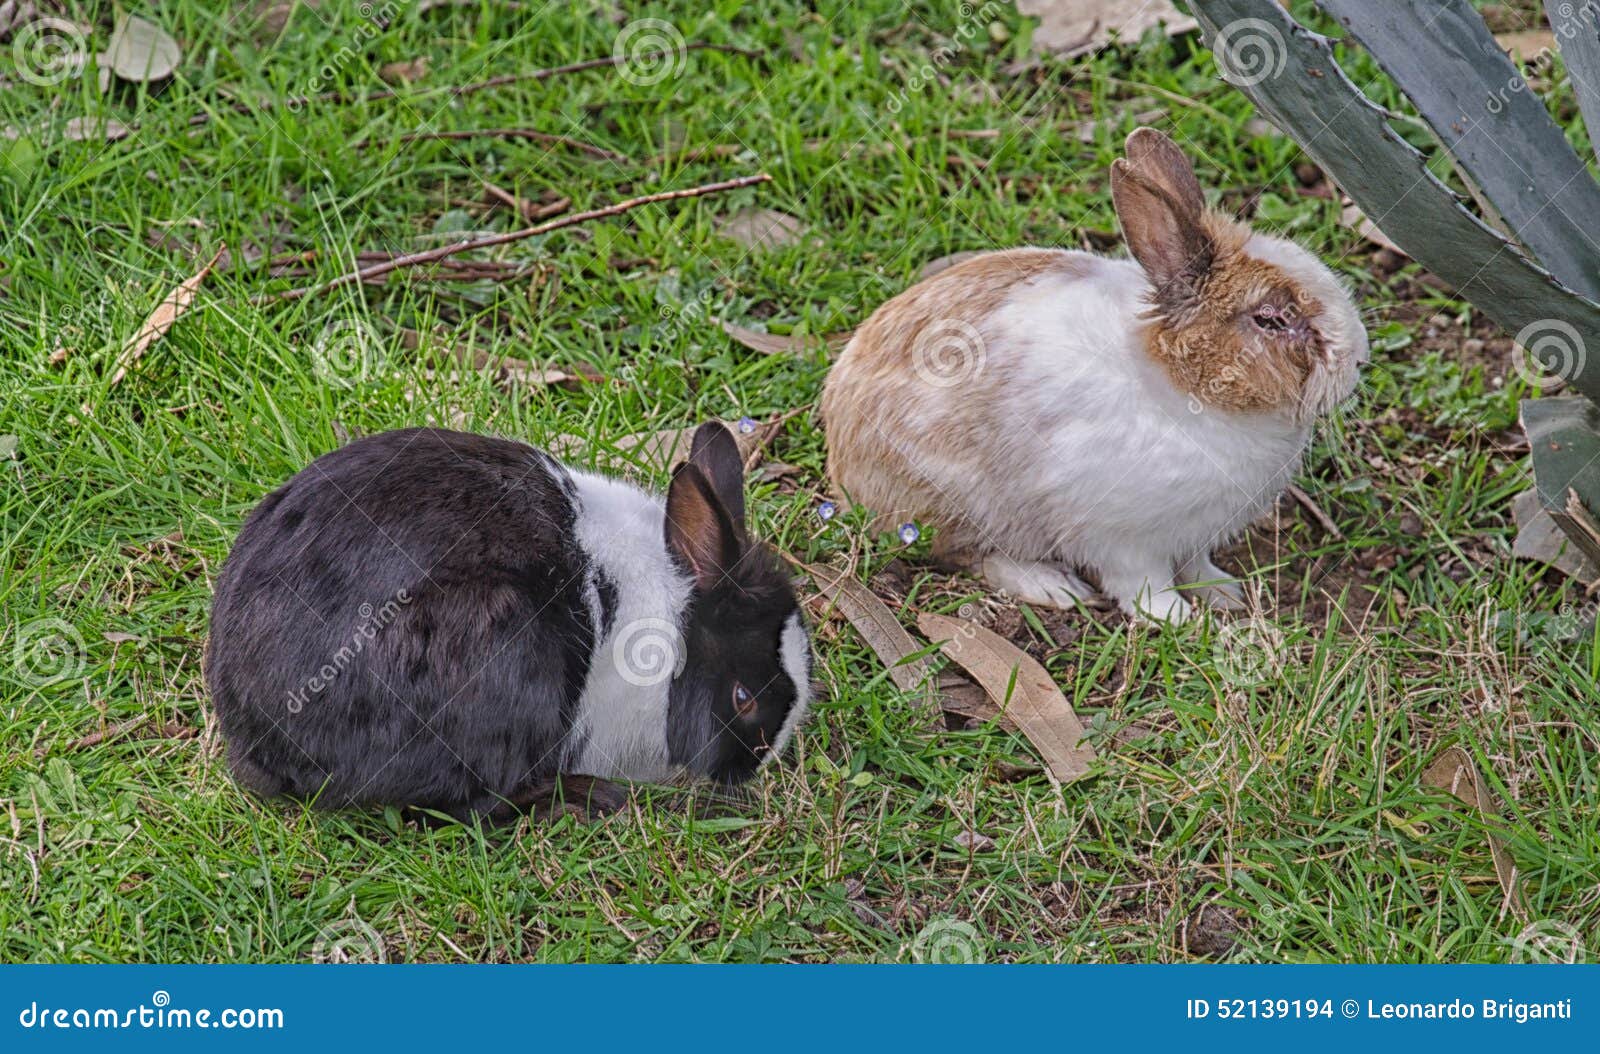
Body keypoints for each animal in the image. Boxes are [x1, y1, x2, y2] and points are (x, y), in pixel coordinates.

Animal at [821, 128, 1369, 623]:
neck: (1187, 385)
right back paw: (1052, 587)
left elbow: (1195, 565)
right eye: (1270, 319)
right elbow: (1140, 580)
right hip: (966, 503)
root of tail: (840, 455)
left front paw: (1222, 592)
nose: (1358, 358)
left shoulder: (1193, 534)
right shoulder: (1120, 536)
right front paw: (1172, 617)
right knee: (964, 552)